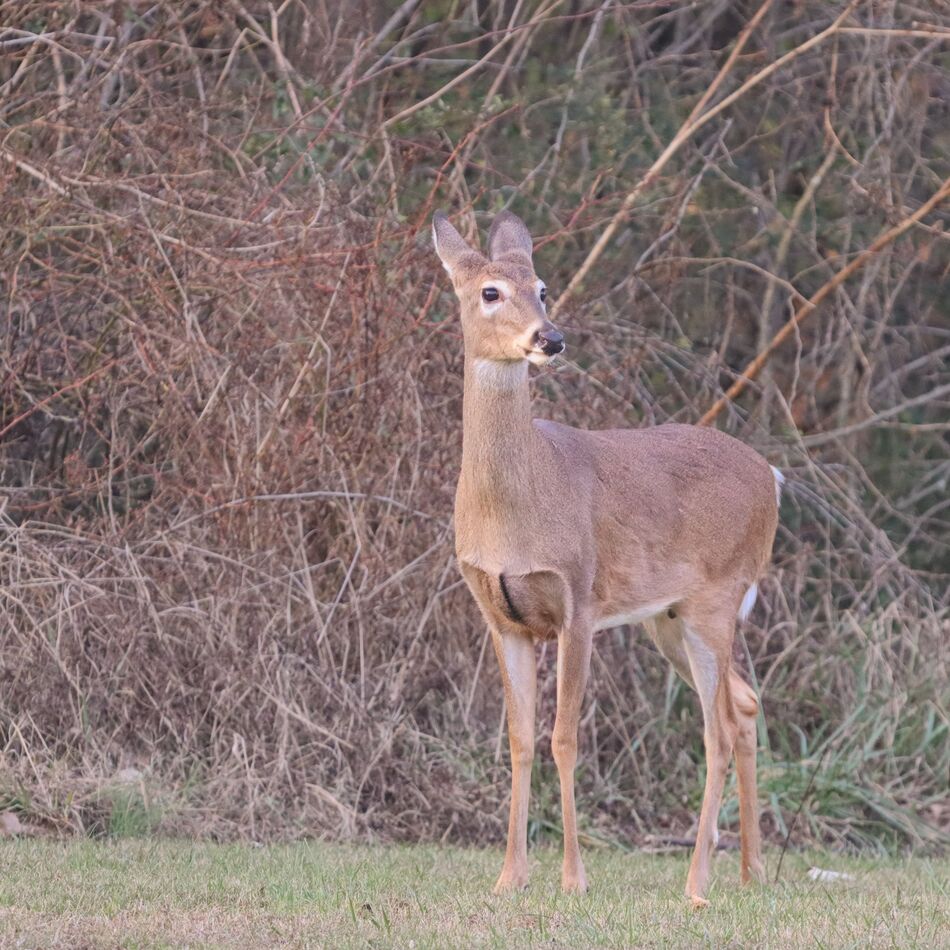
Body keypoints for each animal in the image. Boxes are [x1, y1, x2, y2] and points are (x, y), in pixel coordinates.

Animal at [432, 208, 782, 908]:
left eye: (543, 287)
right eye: (490, 291)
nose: (551, 338)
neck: (515, 510)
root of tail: (775, 478)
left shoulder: (579, 600)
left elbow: (564, 738)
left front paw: (573, 879)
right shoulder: (501, 616)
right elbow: (518, 739)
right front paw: (509, 878)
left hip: (716, 598)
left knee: (717, 729)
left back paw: (696, 884)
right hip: (667, 619)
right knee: (745, 703)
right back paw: (749, 871)